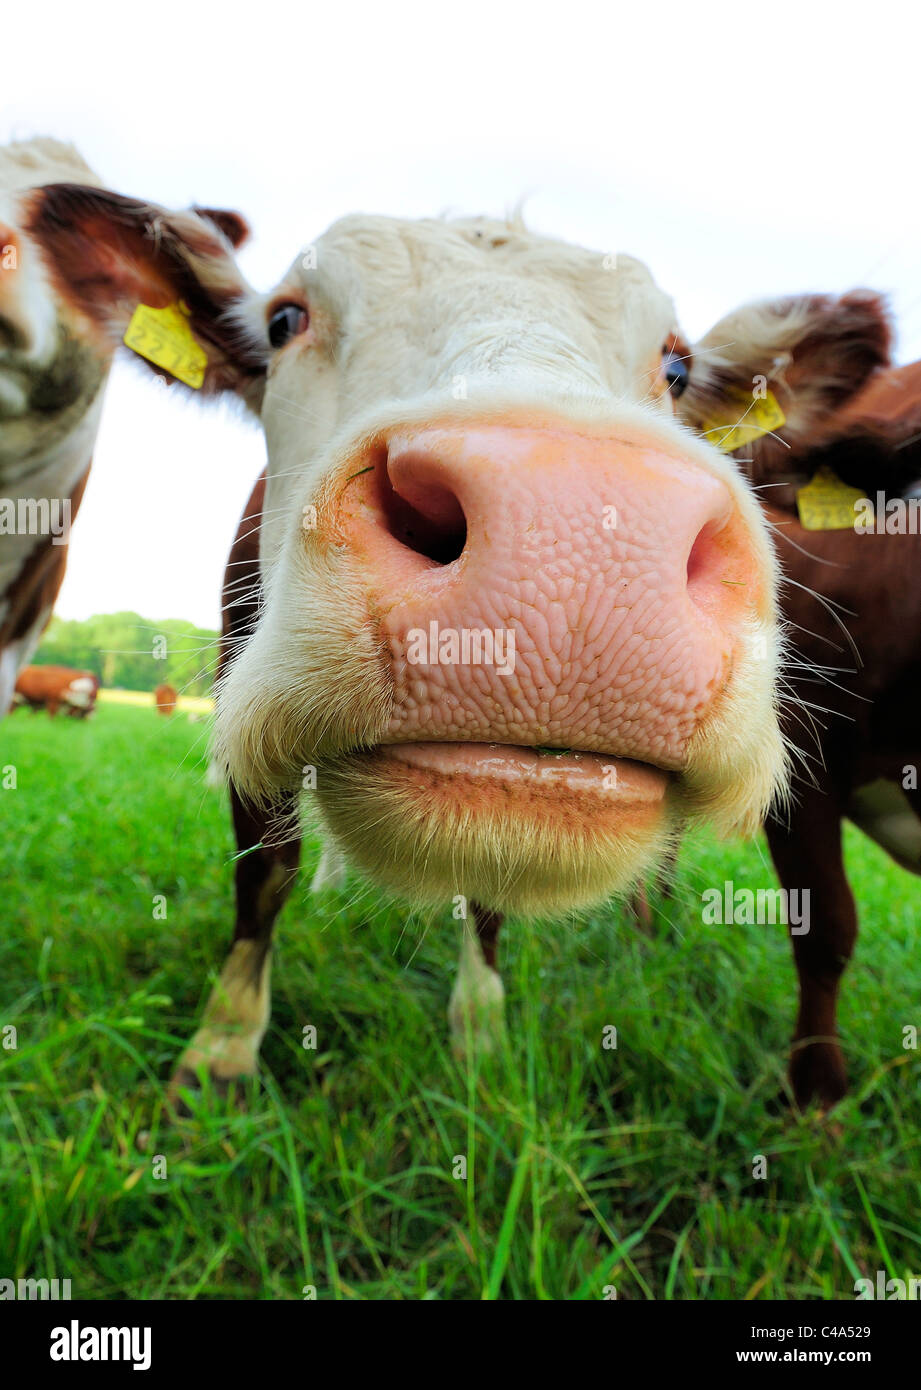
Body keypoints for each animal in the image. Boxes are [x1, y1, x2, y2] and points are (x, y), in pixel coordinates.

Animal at [67, 203, 877, 1099]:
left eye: (675, 367)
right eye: (284, 321)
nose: (574, 526)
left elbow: (487, 899)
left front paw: (479, 1034)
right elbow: (265, 870)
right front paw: (221, 1049)